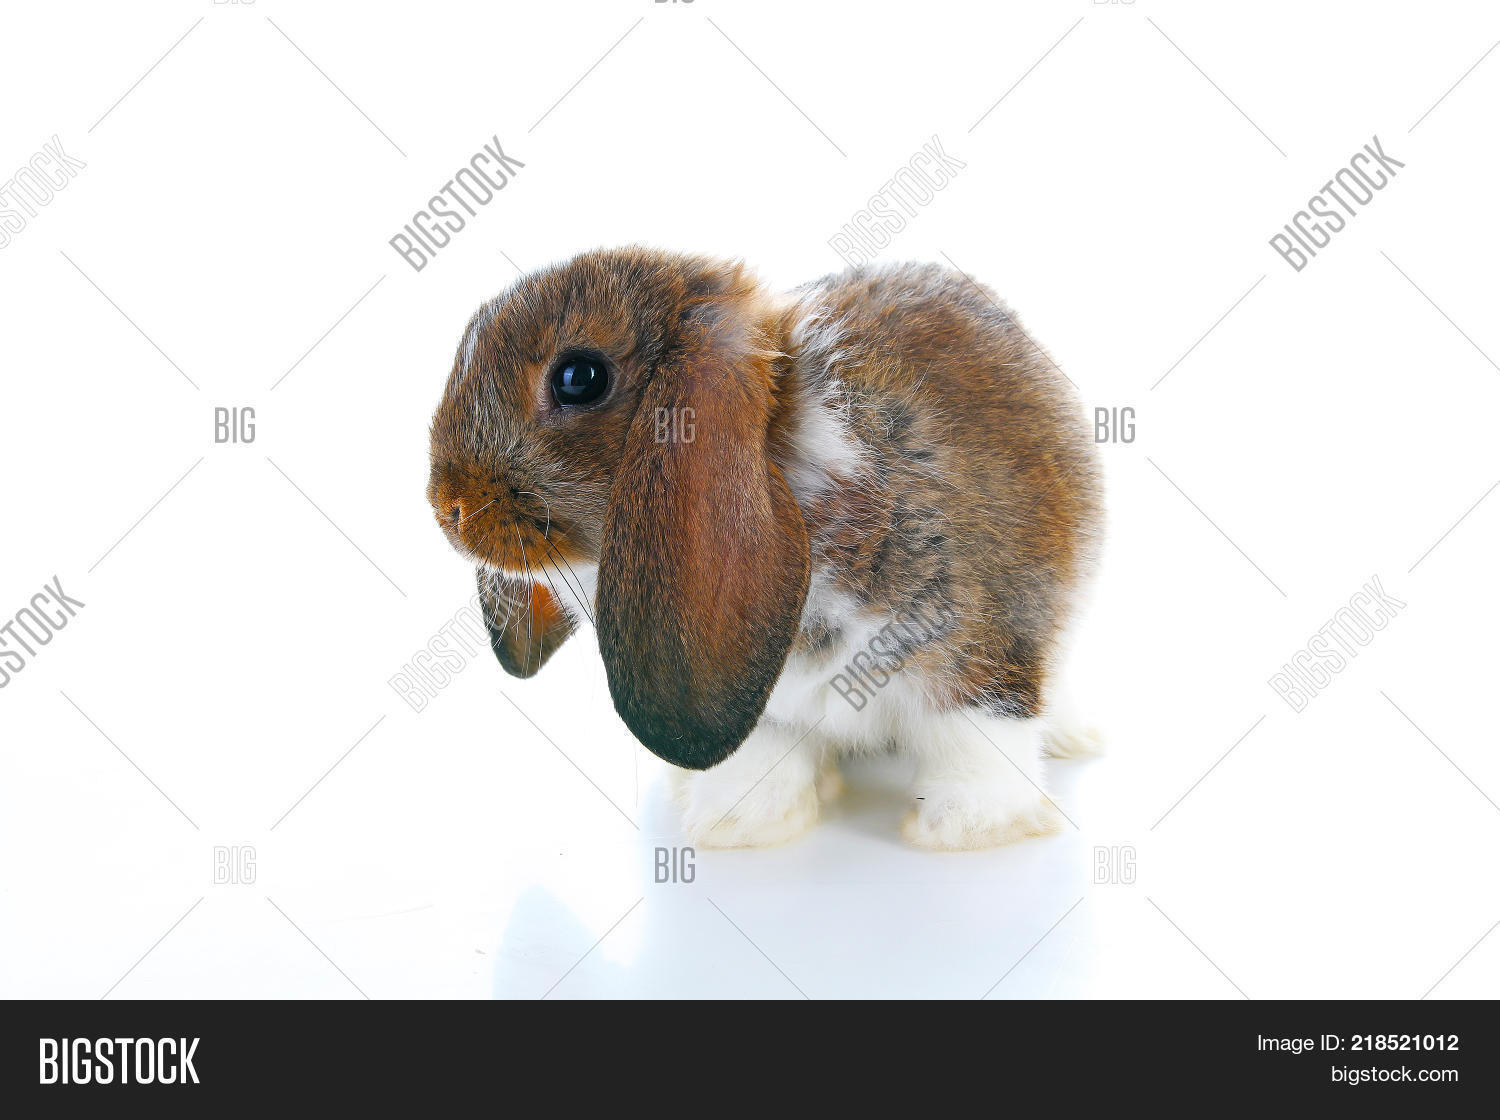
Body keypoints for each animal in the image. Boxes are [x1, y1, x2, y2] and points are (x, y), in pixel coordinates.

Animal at [428, 247, 1103, 850]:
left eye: (579, 378)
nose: (447, 507)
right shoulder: (766, 710)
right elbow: (759, 765)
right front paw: (741, 827)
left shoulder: (971, 643)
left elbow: (977, 731)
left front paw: (971, 827)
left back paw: (1072, 739)